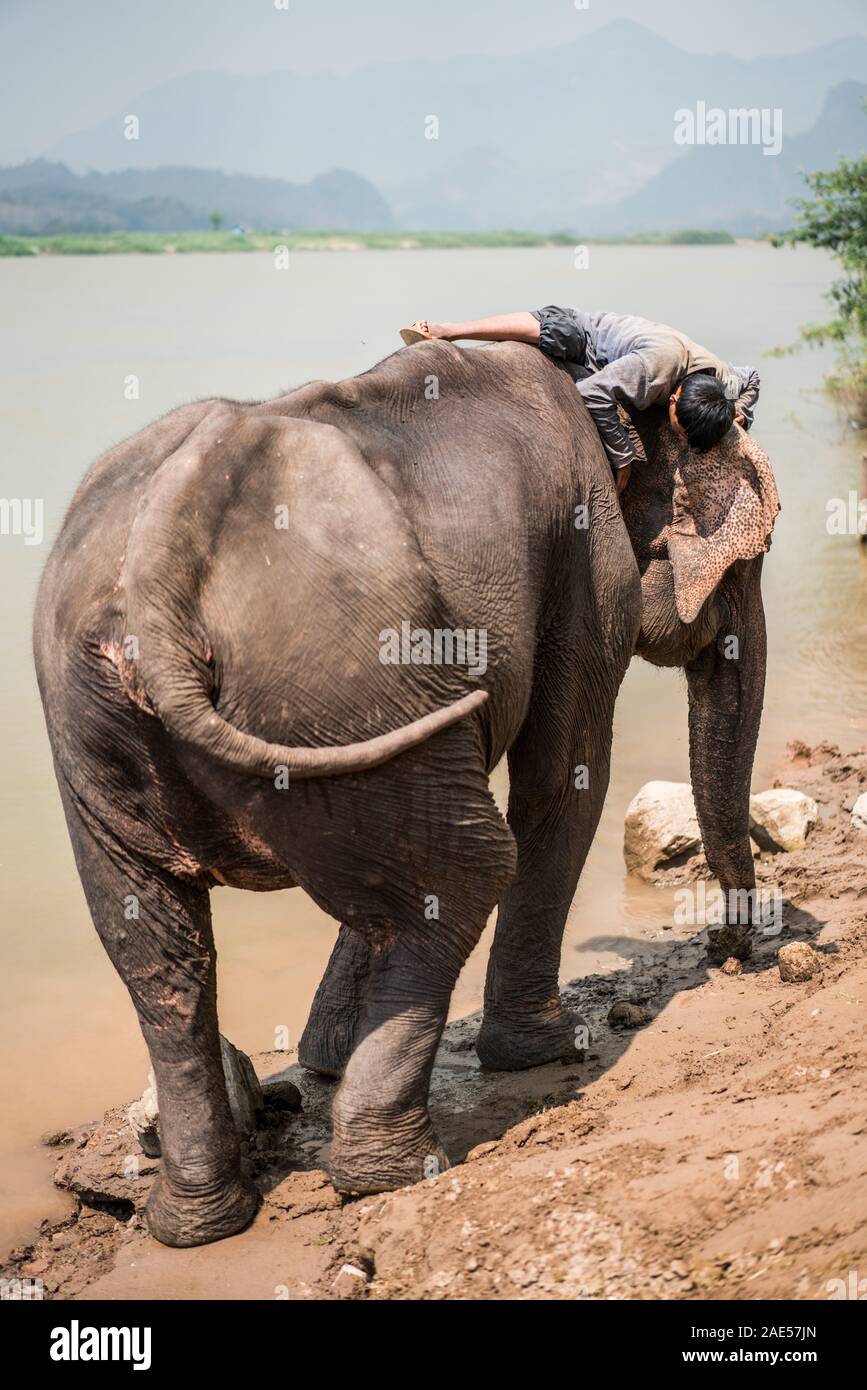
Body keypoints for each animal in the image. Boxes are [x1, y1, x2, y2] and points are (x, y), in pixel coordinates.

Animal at [34, 339, 779, 1247]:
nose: (730, 950)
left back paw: (197, 1224)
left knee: (156, 951)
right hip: (334, 683)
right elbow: (565, 774)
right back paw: (389, 1172)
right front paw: (546, 1049)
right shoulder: (581, 556)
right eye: (747, 566)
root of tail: (154, 578)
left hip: (119, 730)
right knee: (469, 868)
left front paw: (324, 1055)